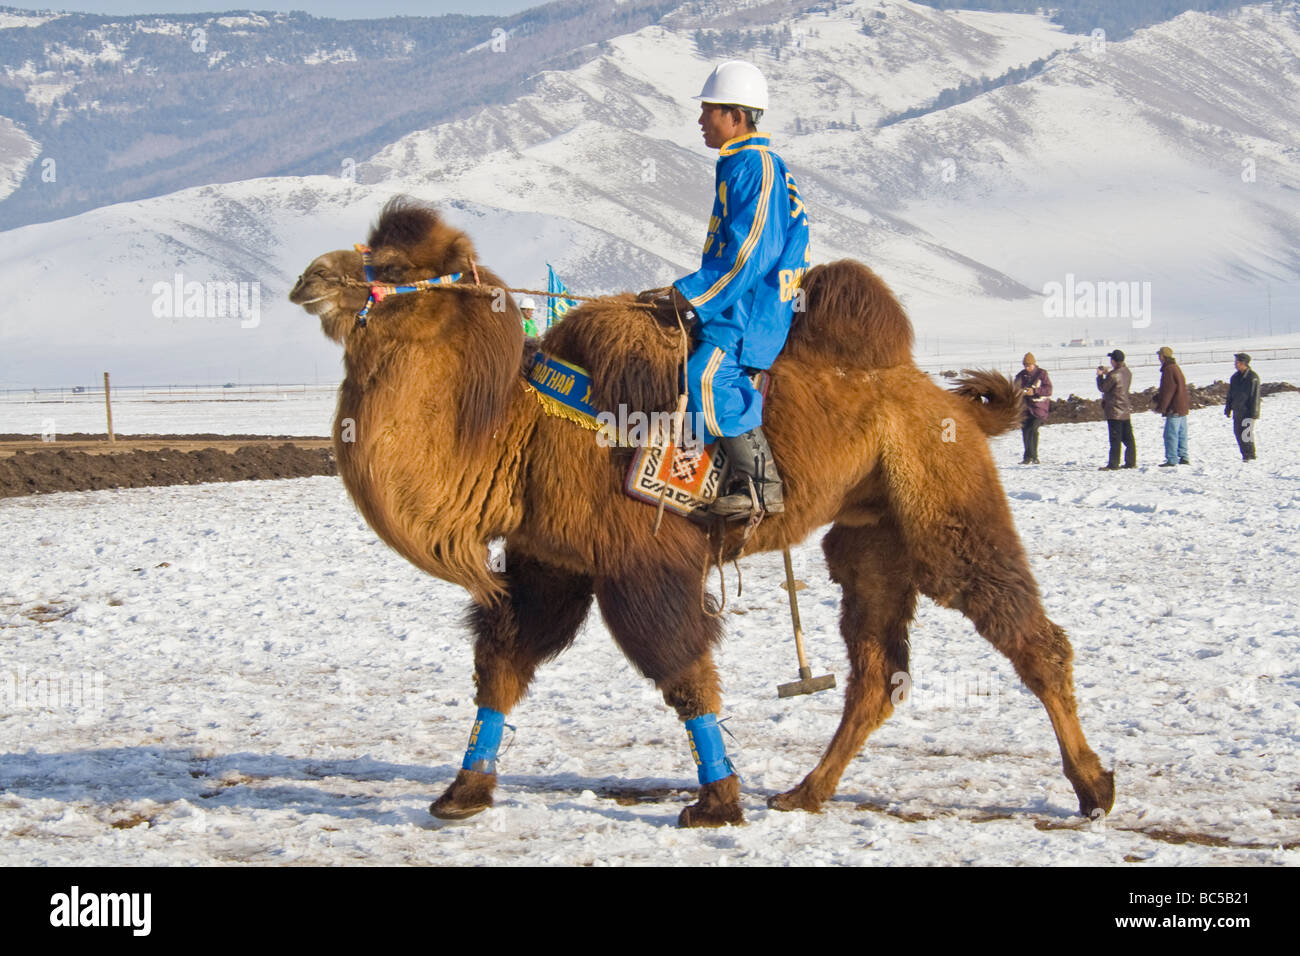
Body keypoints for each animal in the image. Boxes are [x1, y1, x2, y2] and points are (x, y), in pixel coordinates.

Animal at [289, 196, 1115, 827]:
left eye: (395, 266)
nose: (308, 278)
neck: (519, 431)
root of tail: (952, 404)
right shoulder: (550, 562)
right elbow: (502, 661)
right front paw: (462, 791)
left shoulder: (640, 561)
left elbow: (682, 669)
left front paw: (717, 802)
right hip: (869, 535)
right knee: (876, 672)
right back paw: (805, 792)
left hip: (944, 501)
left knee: (1026, 632)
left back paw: (1094, 788)